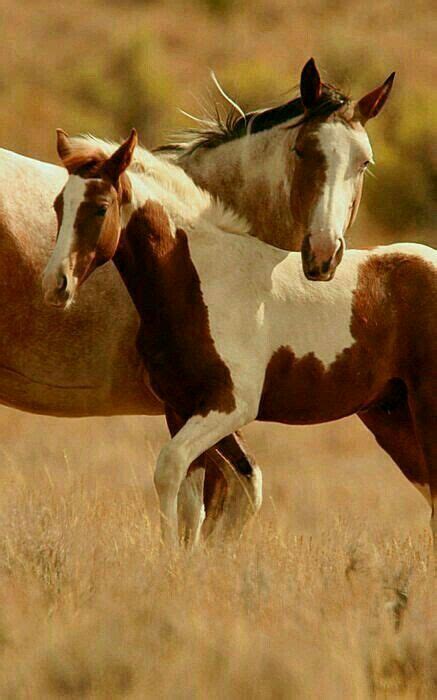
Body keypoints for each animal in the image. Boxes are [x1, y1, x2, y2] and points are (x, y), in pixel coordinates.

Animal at [42, 129, 437, 547]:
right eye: (58, 206)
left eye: (100, 208)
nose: (56, 284)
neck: (202, 280)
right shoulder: (180, 407)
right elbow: (192, 499)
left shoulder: (231, 405)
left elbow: (169, 468)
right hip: (391, 417)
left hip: (425, 409)